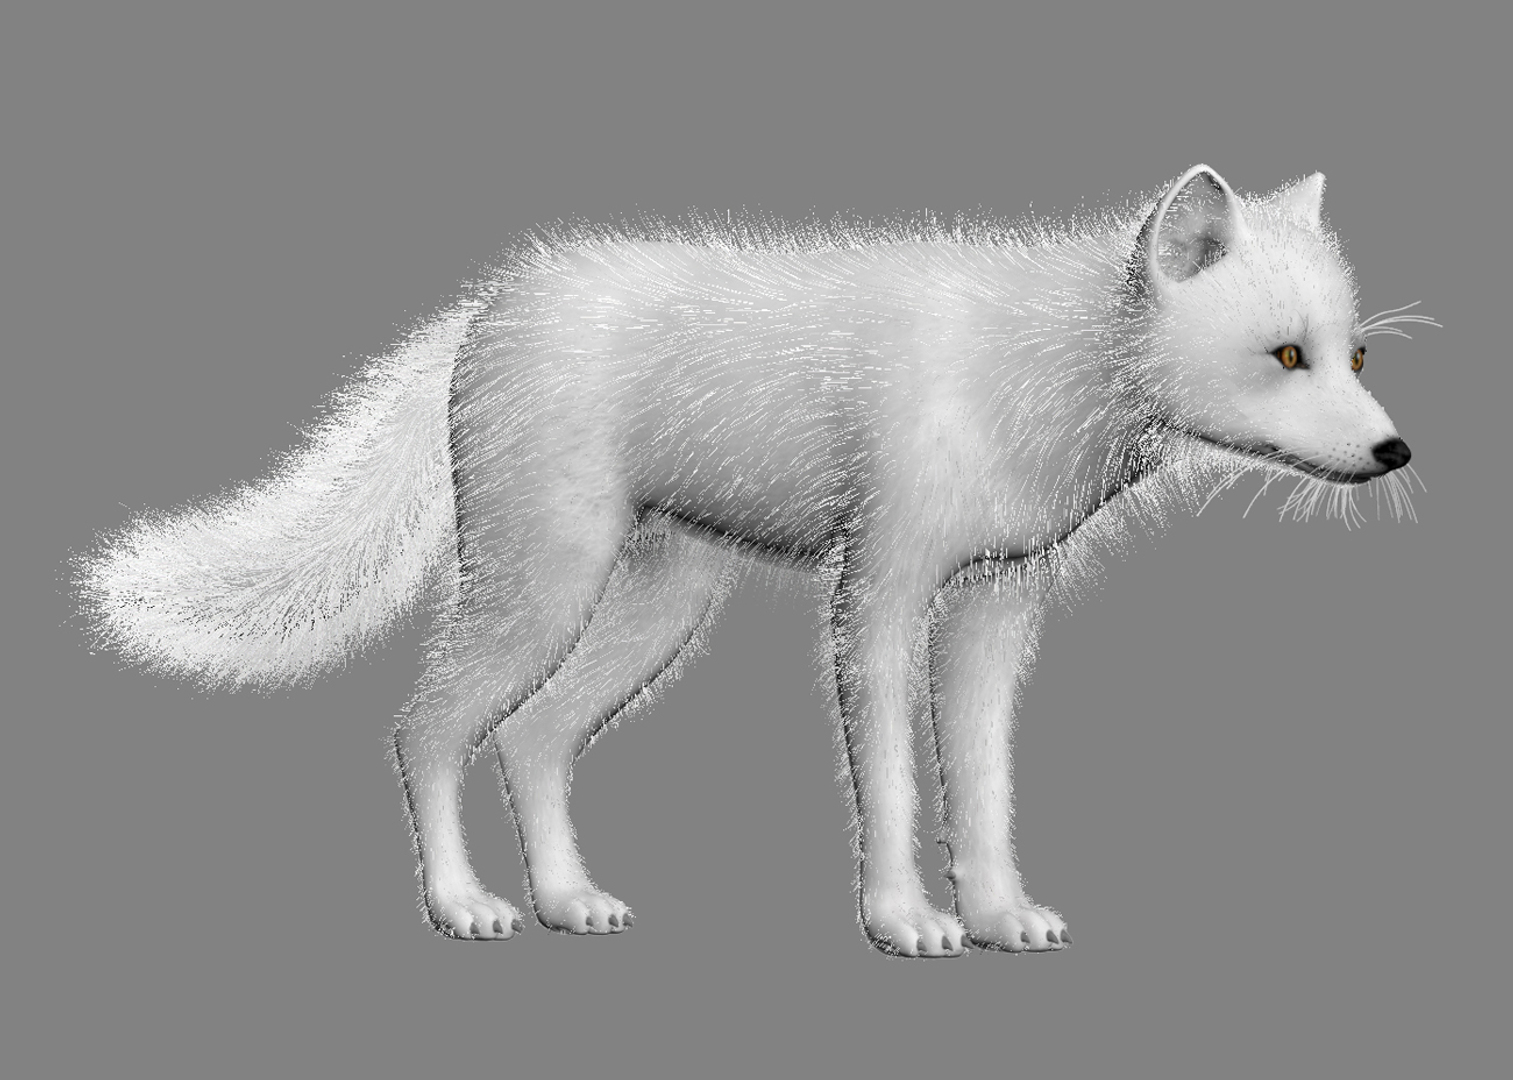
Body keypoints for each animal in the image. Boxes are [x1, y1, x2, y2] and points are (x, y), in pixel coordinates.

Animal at [77, 165, 1428, 957]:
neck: (1031, 367)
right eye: (1286, 355)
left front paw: (996, 916)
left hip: (661, 604)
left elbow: (983, 785)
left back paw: (569, 904)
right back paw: (465, 908)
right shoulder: (874, 597)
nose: (1396, 451)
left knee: (531, 737)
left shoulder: (995, 605)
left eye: (1354, 354)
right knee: (423, 728)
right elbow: (894, 784)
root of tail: (489, 305)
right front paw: (904, 923)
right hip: (543, 582)